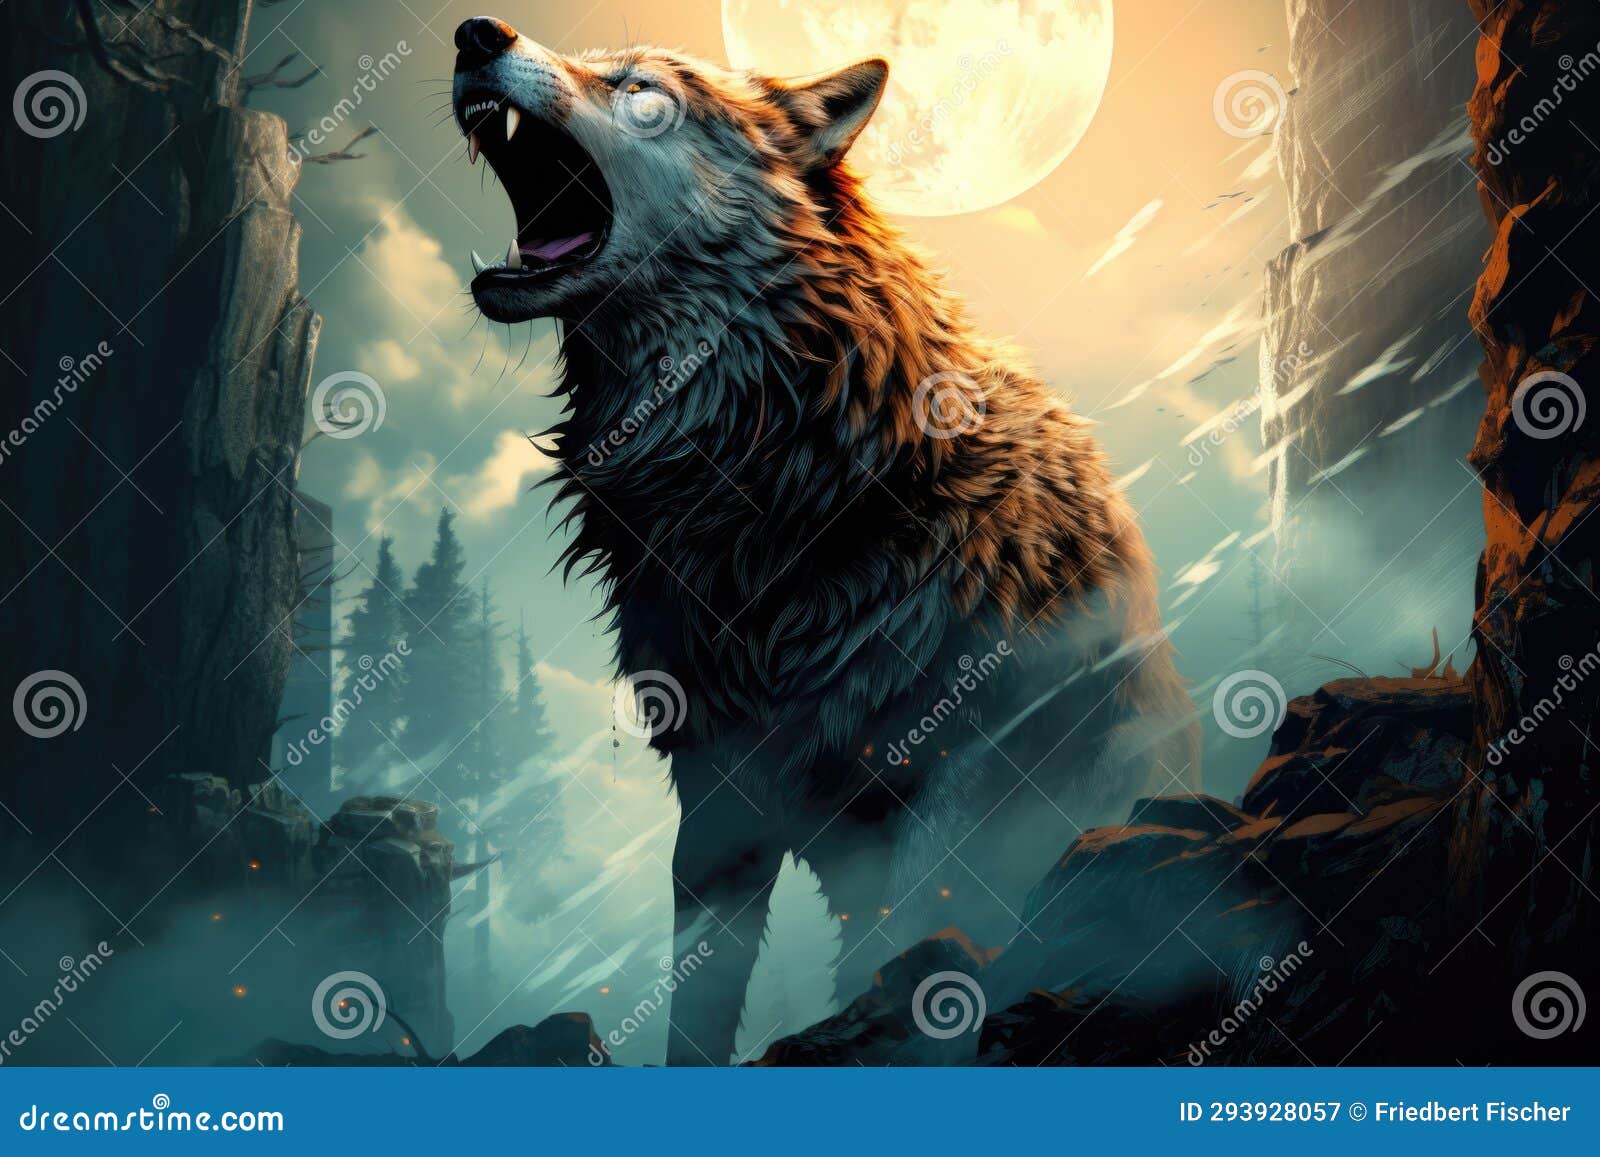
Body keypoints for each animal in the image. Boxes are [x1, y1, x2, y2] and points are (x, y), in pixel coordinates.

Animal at [450, 16, 1200, 1065]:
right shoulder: (717, 788)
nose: (475, 32)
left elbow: (911, 959)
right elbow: (698, 999)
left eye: (640, 89)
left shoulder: (949, 781)